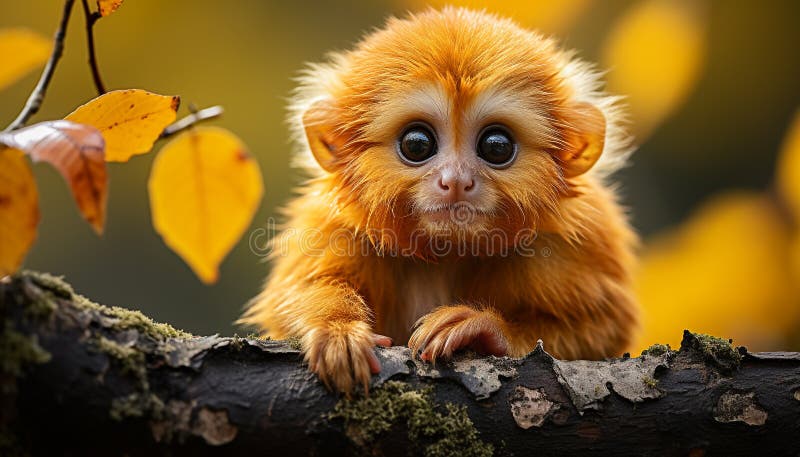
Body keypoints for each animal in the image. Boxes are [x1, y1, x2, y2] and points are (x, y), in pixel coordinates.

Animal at [240, 7, 639, 394]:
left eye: (497, 147)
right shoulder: (333, 226)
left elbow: (603, 330)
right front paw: (337, 328)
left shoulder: (573, 242)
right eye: (417, 144)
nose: (456, 181)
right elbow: (293, 298)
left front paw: (486, 328)